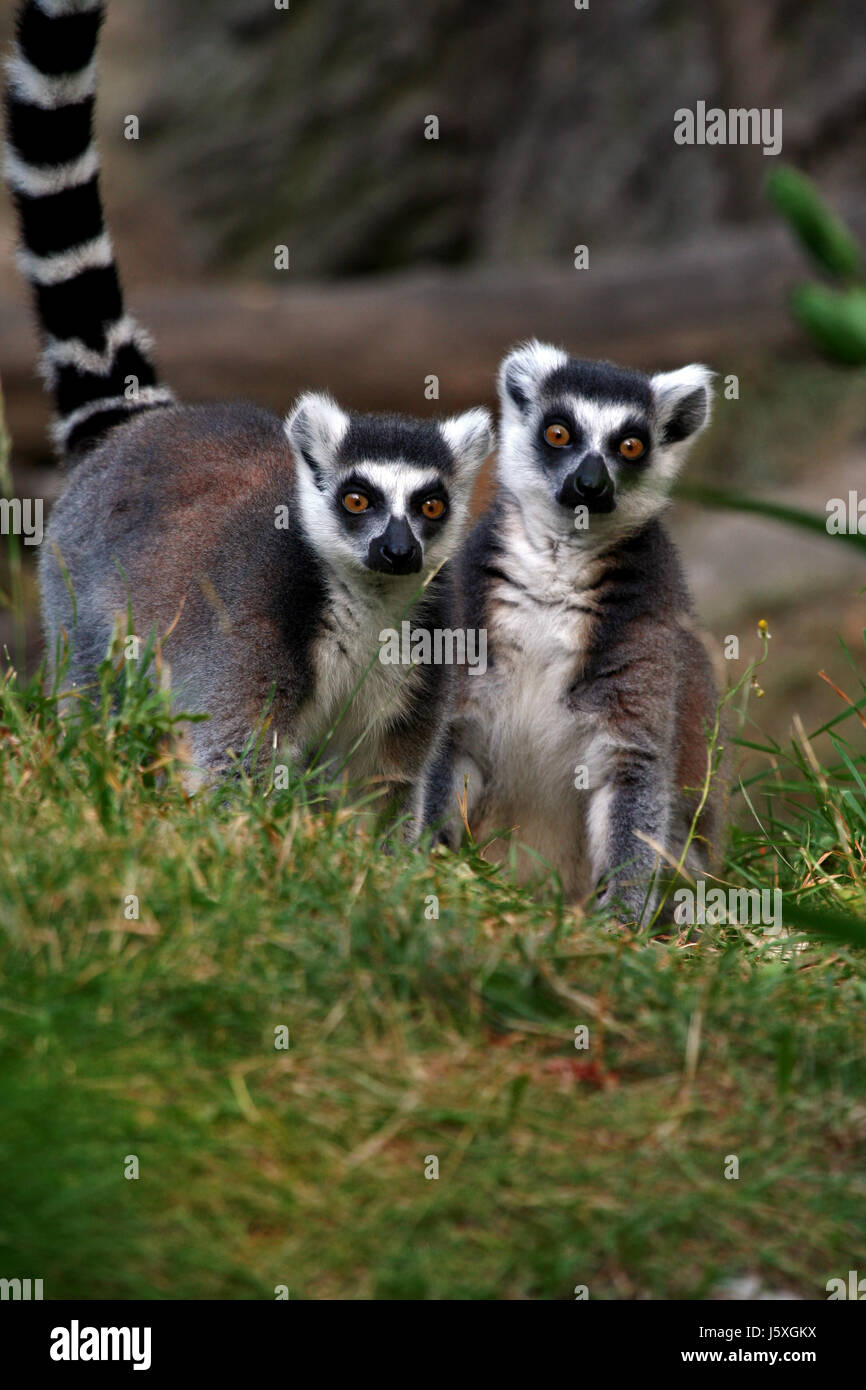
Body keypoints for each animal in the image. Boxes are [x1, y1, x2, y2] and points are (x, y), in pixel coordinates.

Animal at [424, 339, 720, 925]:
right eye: (559, 433)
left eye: (630, 445)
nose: (590, 484)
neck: (558, 565)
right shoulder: (467, 611)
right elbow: (446, 735)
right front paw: (425, 858)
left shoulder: (642, 627)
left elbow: (632, 767)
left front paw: (622, 919)